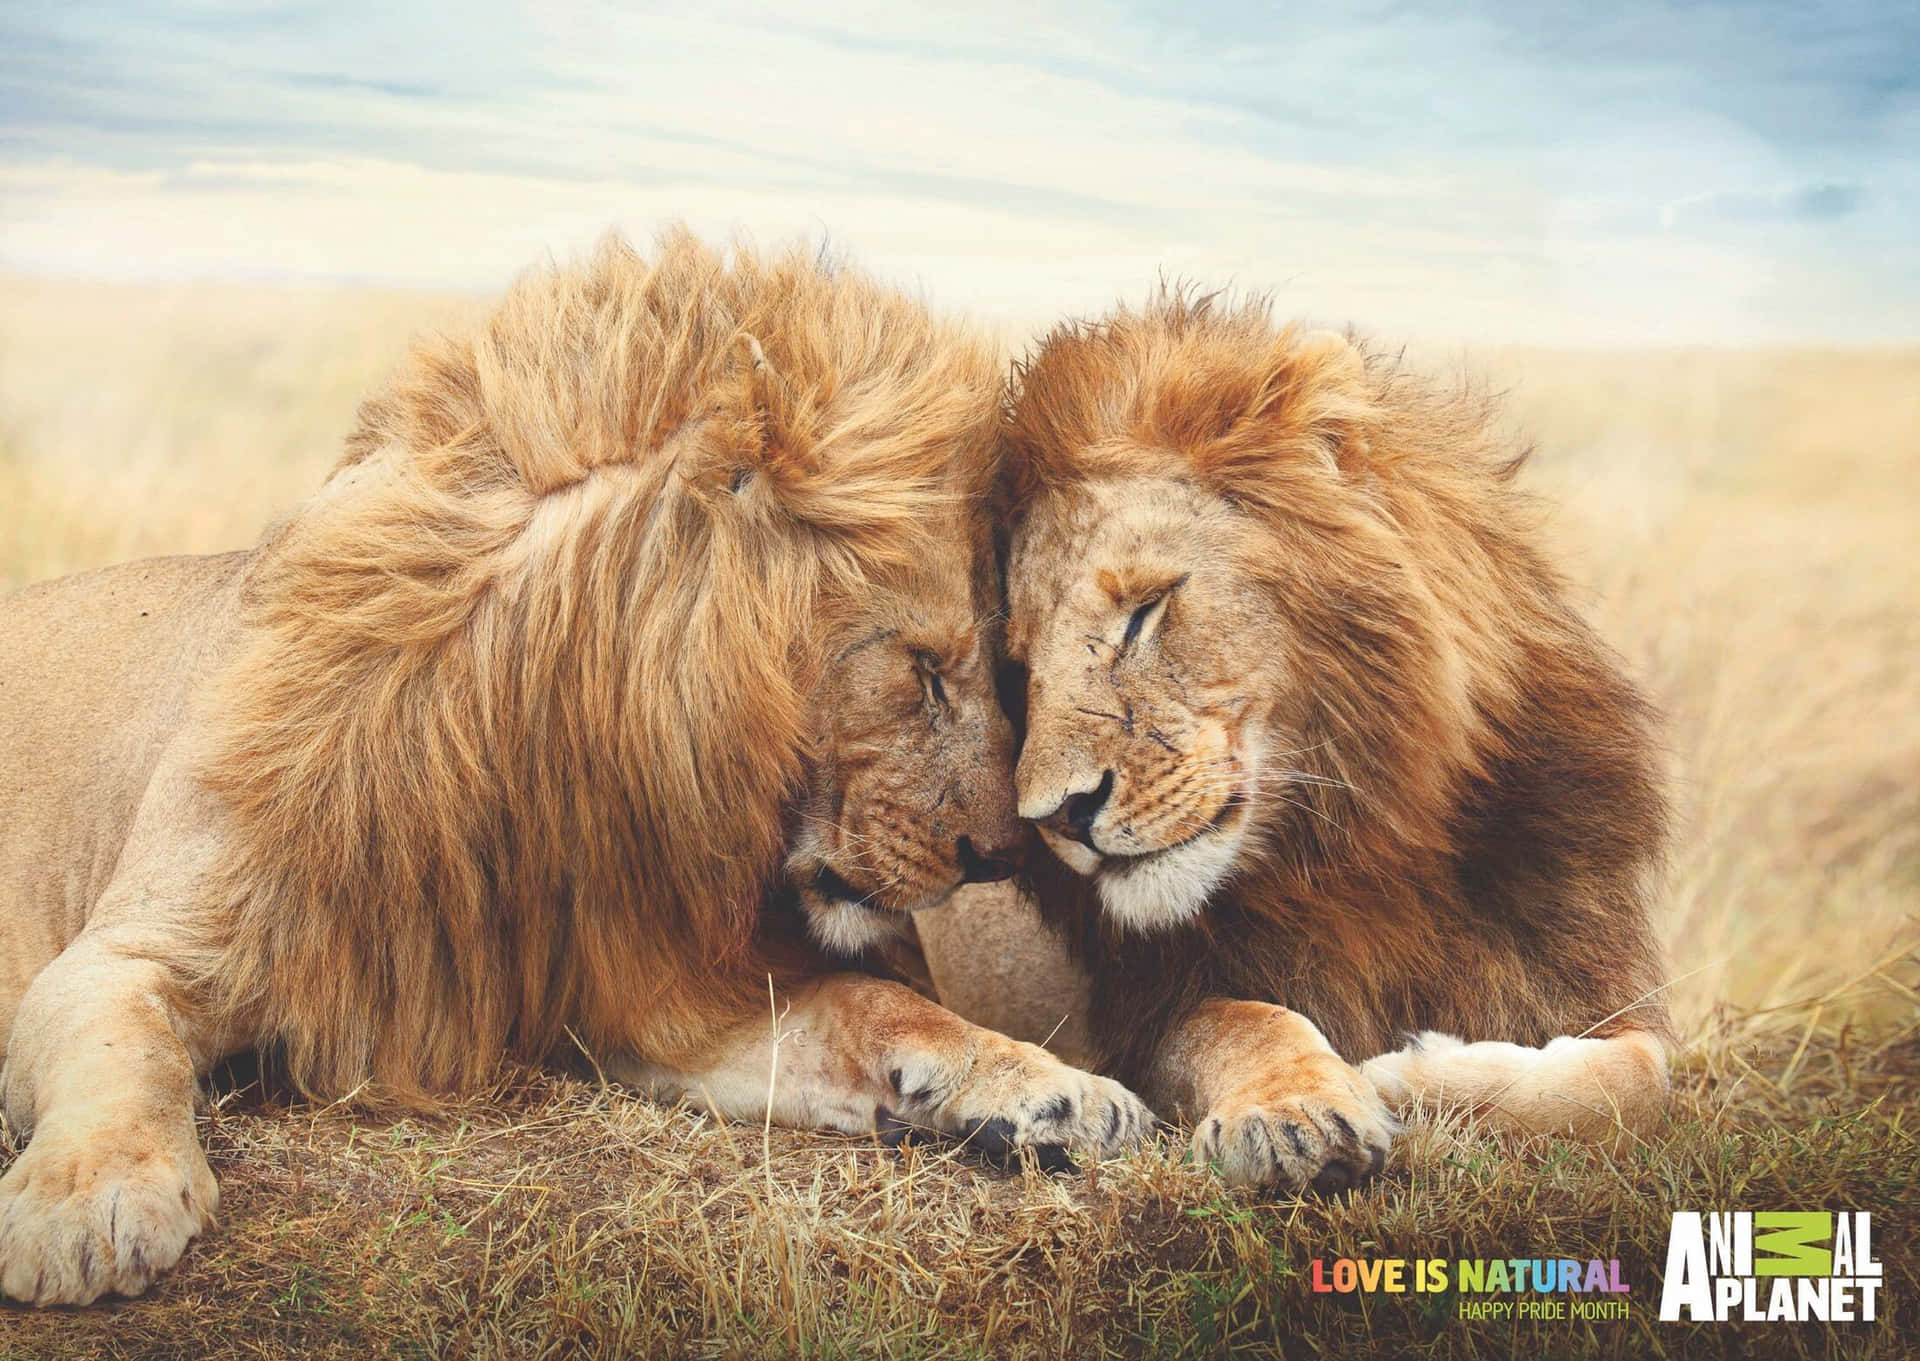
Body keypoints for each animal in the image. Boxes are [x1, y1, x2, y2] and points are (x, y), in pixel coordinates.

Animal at [0, 229, 1149, 1307]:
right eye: (922, 669)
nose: (1001, 854)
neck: (539, 742)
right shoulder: (131, 949)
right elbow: (121, 1045)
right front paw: (92, 1200)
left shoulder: (652, 992)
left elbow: (873, 1006)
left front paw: (1058, 1089)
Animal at [951, 289, 1671, 1192]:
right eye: (1019, 670)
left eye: (1144, 611)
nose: (1057, 817)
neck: (1356, 844)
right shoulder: (1147, 1011)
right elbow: (1248, 1019)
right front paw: (1301, 1110)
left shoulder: (1587, 977)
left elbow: (1637, 1079)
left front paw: (1413, 1072)